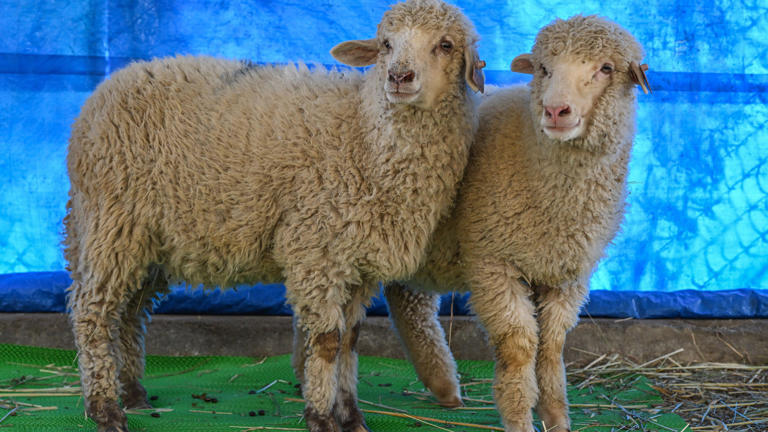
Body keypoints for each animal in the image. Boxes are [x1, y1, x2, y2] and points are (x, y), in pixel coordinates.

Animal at [63, 0, 485, 430]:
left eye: (446, 45)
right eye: (386, 44)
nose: (399, 76)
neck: (363, 134)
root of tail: (98, 98)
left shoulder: (357, 263)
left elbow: (350, 340)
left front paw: (351, 415)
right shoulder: (317, 250)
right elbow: (327, 342)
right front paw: (321, 416)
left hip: (149, 240)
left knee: (129, 313)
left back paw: (133, 393)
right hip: (113, 221)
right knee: (93, 312)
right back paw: (104, 407)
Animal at [384, 15, 649, 432]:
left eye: (606, 68)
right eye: (543, 69)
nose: (556, 111)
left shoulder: (567, 276)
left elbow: (552, 347)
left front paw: (556, 416)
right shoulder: (493, 263)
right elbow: (519, 346)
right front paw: (519, 416)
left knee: (407, 299)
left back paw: (443, 386)